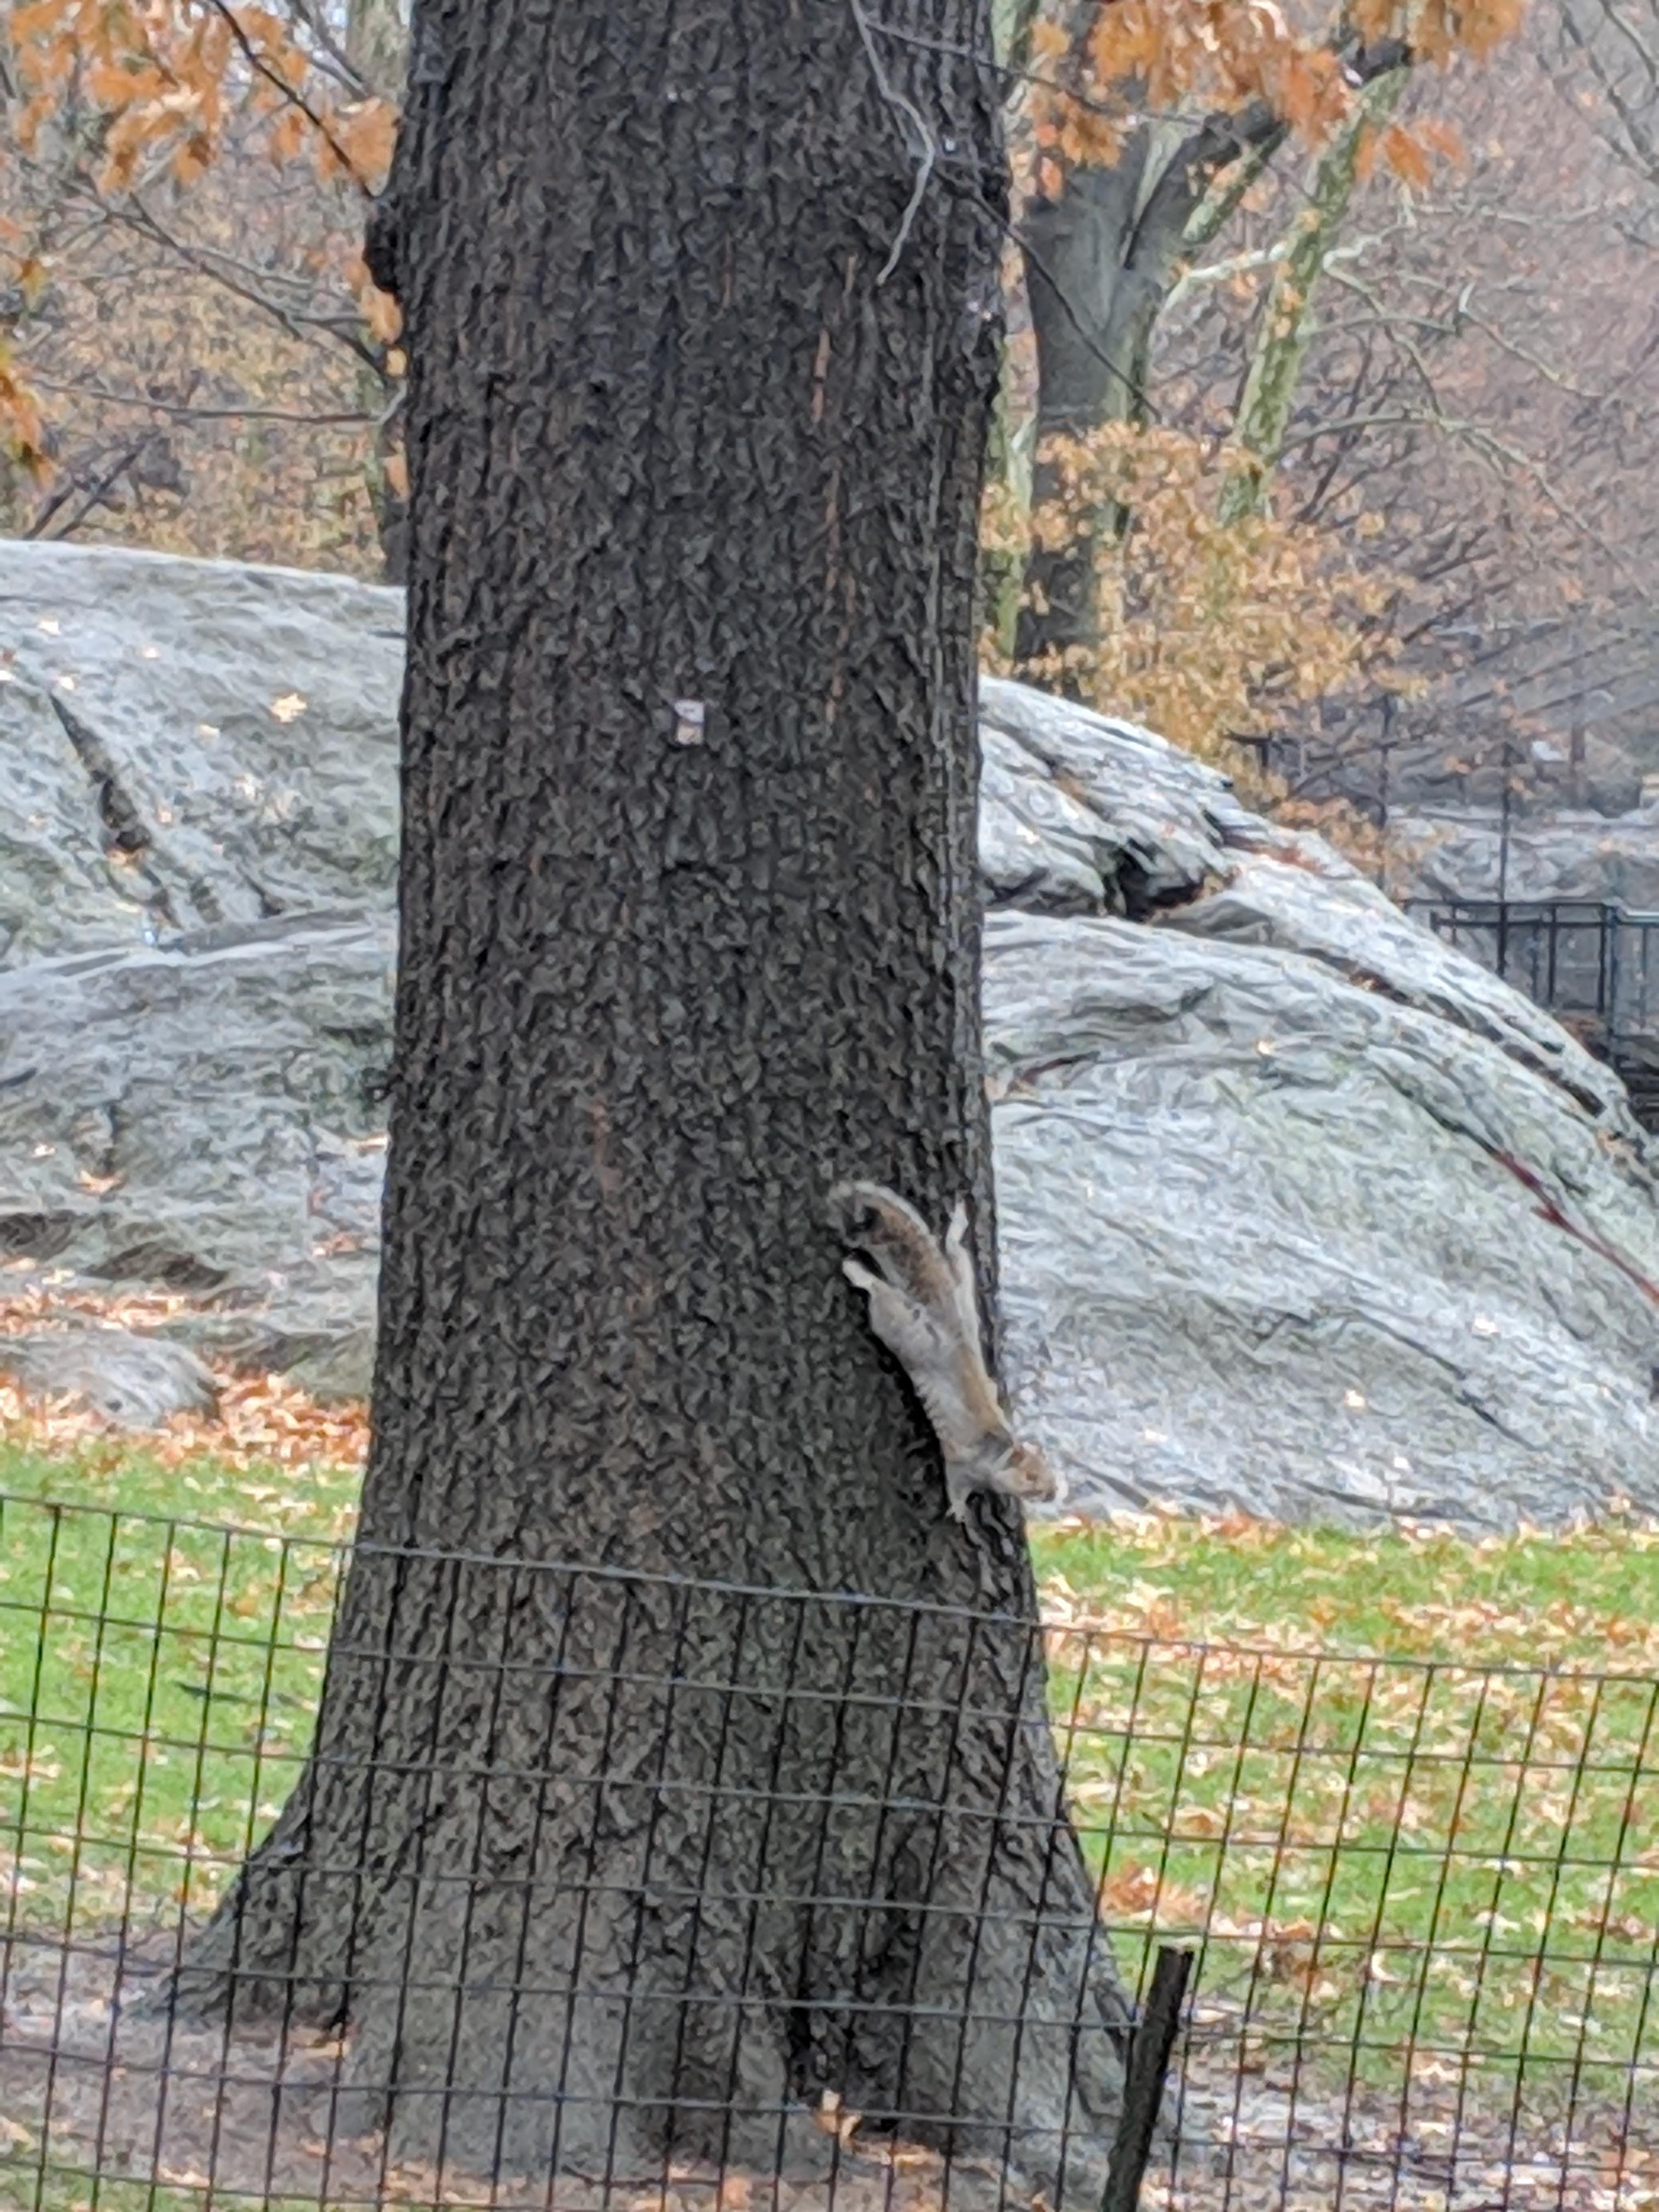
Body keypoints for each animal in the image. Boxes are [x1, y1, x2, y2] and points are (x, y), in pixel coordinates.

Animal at [828, 1180, 1058, 1523]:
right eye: (1030, 1477)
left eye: (1050, 1474)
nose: (1053, 1493)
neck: (995, 1456)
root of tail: (952, 1326)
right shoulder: (962, 1464)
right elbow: (956, 1484)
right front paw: (959, 1511)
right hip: (904, 1329)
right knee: (879, 1293)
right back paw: (856, 1271)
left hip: (963, 1289)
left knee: (954, 1253)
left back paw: (958, 1225)